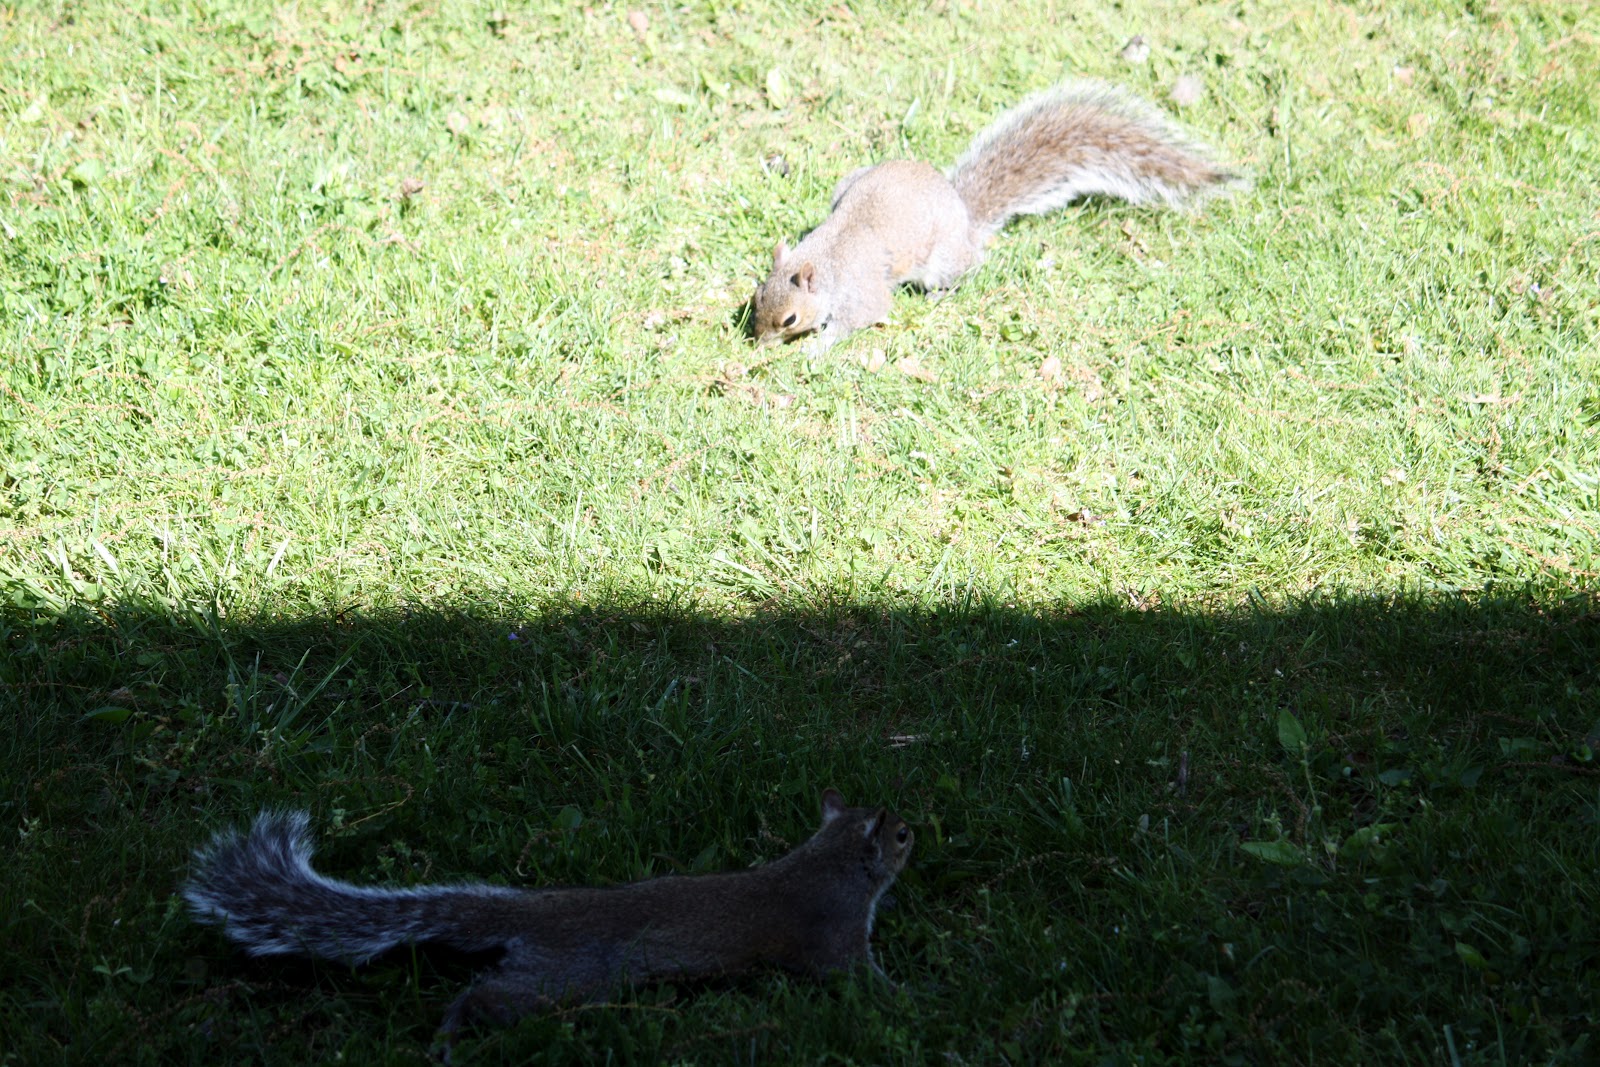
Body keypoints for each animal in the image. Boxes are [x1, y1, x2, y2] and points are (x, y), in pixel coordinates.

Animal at [184, 789, 913, 1050]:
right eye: (901, 834)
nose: (922, 830)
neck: (827, 858)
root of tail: (539, 911)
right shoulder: (834, 934)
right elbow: (853, 975)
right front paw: (903, 996)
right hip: (562, 980)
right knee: (489, 994)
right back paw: (449, 1033)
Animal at [752, 79, 1241, 353]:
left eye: (790, 320)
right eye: (756, 297)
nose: (757, 343)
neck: (824, 257)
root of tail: (965, 216)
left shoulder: (861, 292)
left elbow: (863, 316)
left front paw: (815, 350)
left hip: (943, 259)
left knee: (965, 269)